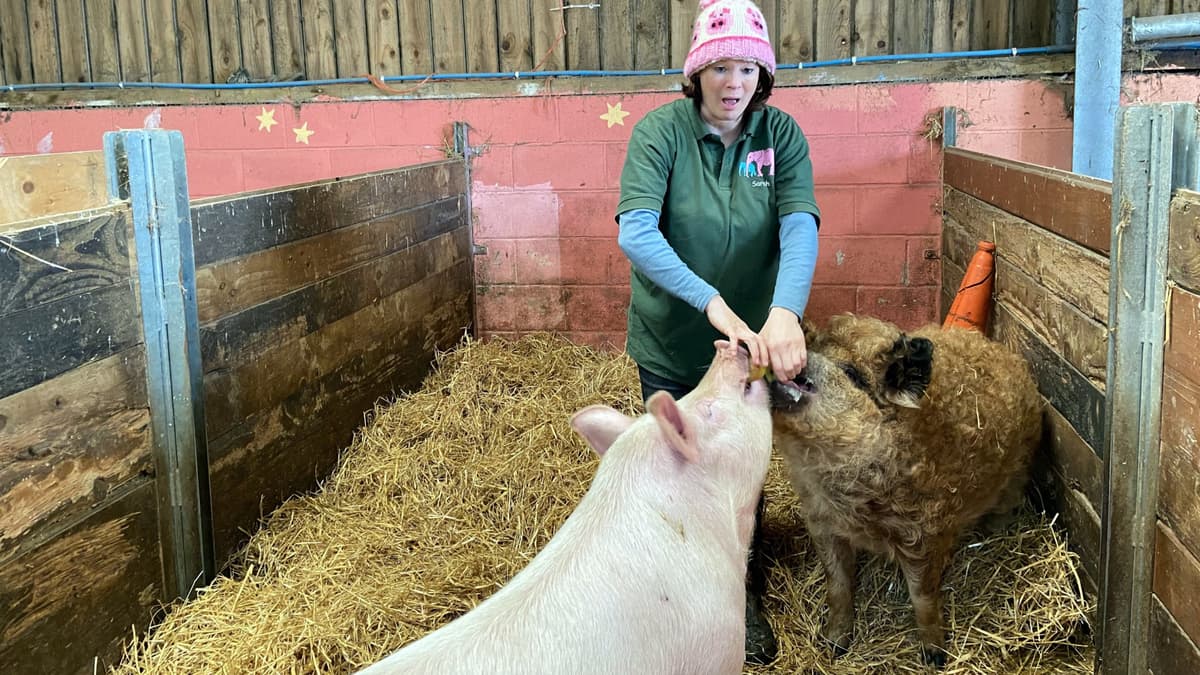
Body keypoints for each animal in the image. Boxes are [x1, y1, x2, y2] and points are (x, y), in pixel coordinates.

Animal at [768, 314, 1043, 666]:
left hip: (1019, 469)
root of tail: (1003, 351)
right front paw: (833, 645)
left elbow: (922, 596)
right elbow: (837, 584)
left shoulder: (925, 531)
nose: (794, 358)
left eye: (852, 373)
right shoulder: (821, 521)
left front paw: (935, 657)